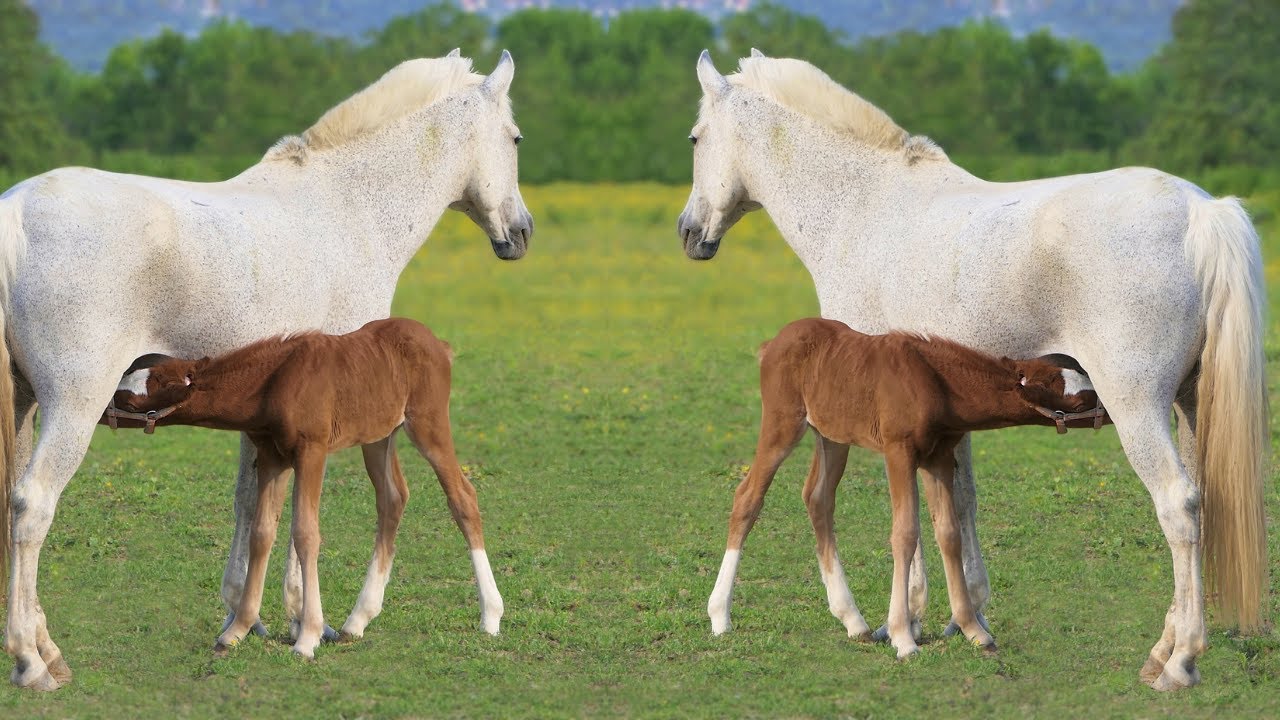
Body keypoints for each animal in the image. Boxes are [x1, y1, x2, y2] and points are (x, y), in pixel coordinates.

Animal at [104, 317, 498, 659]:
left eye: (129, 399)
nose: (102, 412)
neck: (274, 382)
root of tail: (438, 344)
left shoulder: (312, 451)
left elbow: (306, 532)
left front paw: (307, 637)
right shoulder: (273, 457)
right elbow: (262, 532)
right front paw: (237, 630)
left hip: (428, 422)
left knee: (462, 497)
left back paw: (491, 616)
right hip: (378, 435)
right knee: (393, 498)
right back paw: (358, 620)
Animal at [712, 317, 1108, 659]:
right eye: (1079, 399)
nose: (1109, 412)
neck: (937, 383)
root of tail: (772, 343)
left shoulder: (938, 458)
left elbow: (948, 532)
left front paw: (973, 630)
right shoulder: (898, 452)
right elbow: (904, 532)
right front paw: (903, 637)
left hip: (832, 435)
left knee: (818, 498)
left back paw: (852, 620)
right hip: (783, 422)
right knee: (749, 496)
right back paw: (719, 616)